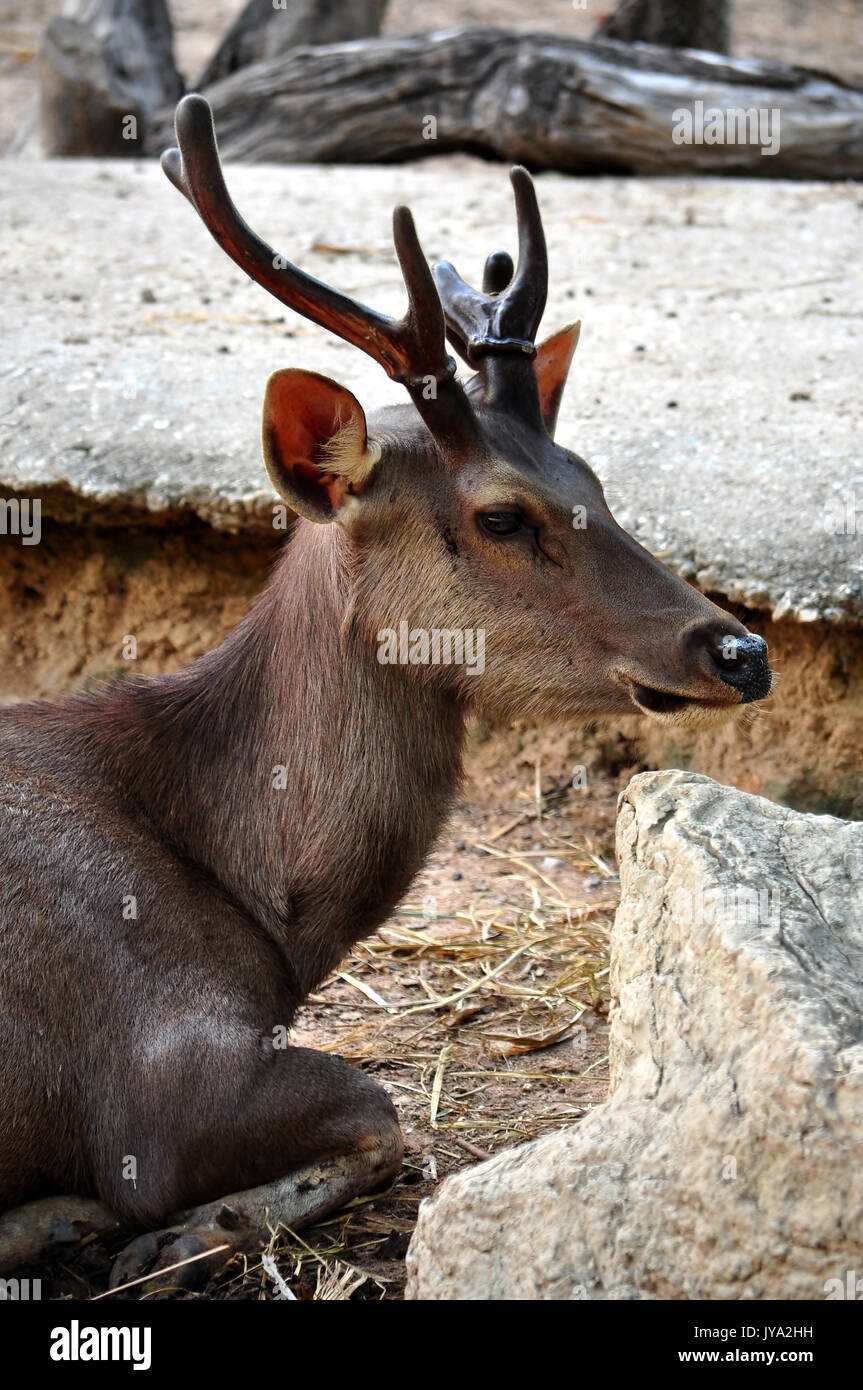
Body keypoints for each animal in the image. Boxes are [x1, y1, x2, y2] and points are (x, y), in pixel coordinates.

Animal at [0, 95, 772, 1292]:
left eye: (593, 480)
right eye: (501, 514)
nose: (740, 650)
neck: (259, 904)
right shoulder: (150, 1071)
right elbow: (379, 1112)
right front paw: (168, 1231)